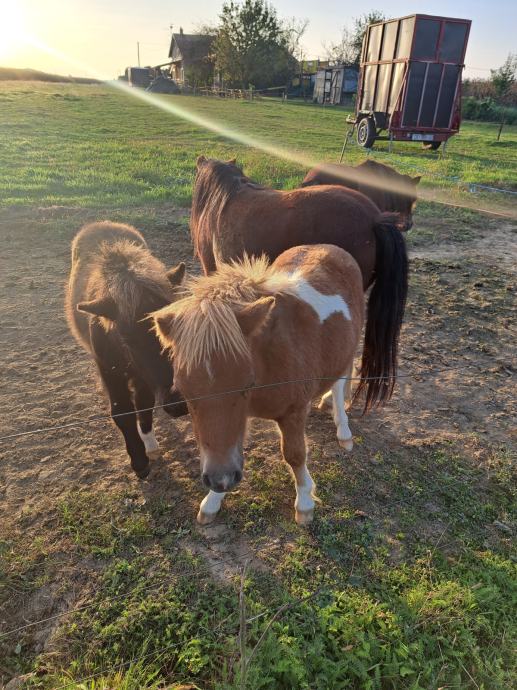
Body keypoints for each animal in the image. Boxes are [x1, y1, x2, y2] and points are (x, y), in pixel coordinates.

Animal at [65, 221, 187, 478]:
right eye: (128, 340)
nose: (178, 403)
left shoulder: (144, 377)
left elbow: (144, 403)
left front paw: (149, 445)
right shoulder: (109, 371)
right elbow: (122, 411)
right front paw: (139, 461)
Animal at [153, 244, 380, 525]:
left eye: (246, 385)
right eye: (184, 392)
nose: (220, 480)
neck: (269, 358)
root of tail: (333, 249)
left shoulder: (294, 411)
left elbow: (295, 454)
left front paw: (305, 502)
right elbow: (229, 445)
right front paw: (213, 500)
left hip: (347, 350)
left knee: (339, 384)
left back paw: (343, 431)